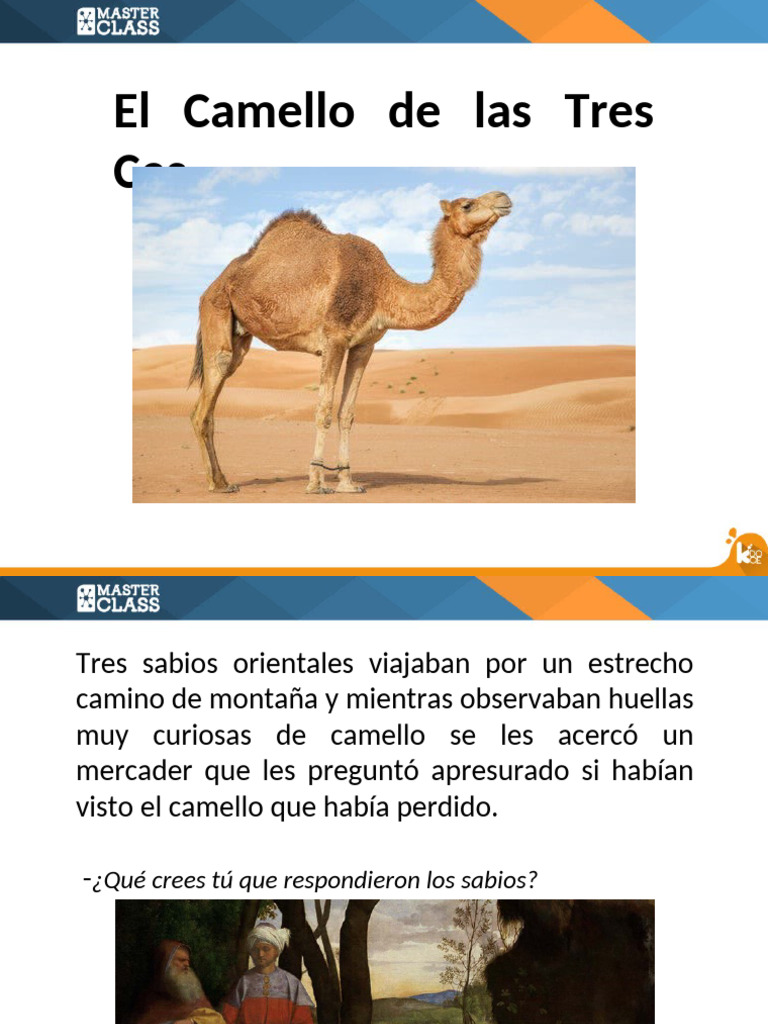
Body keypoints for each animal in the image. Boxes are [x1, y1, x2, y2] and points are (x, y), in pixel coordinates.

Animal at [189, 189, 512, 494]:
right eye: (467, 205)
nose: (504, 198)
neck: (382, 287)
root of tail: (212, 285)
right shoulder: (334, 338)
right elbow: (323, 410)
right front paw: (316, 483)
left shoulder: (363, 345)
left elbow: (347, 413)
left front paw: (347, 482)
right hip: (217, 309)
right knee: (207, 398)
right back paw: (218, 484)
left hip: (240, 336)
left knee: (210, 399)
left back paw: (221, 480)